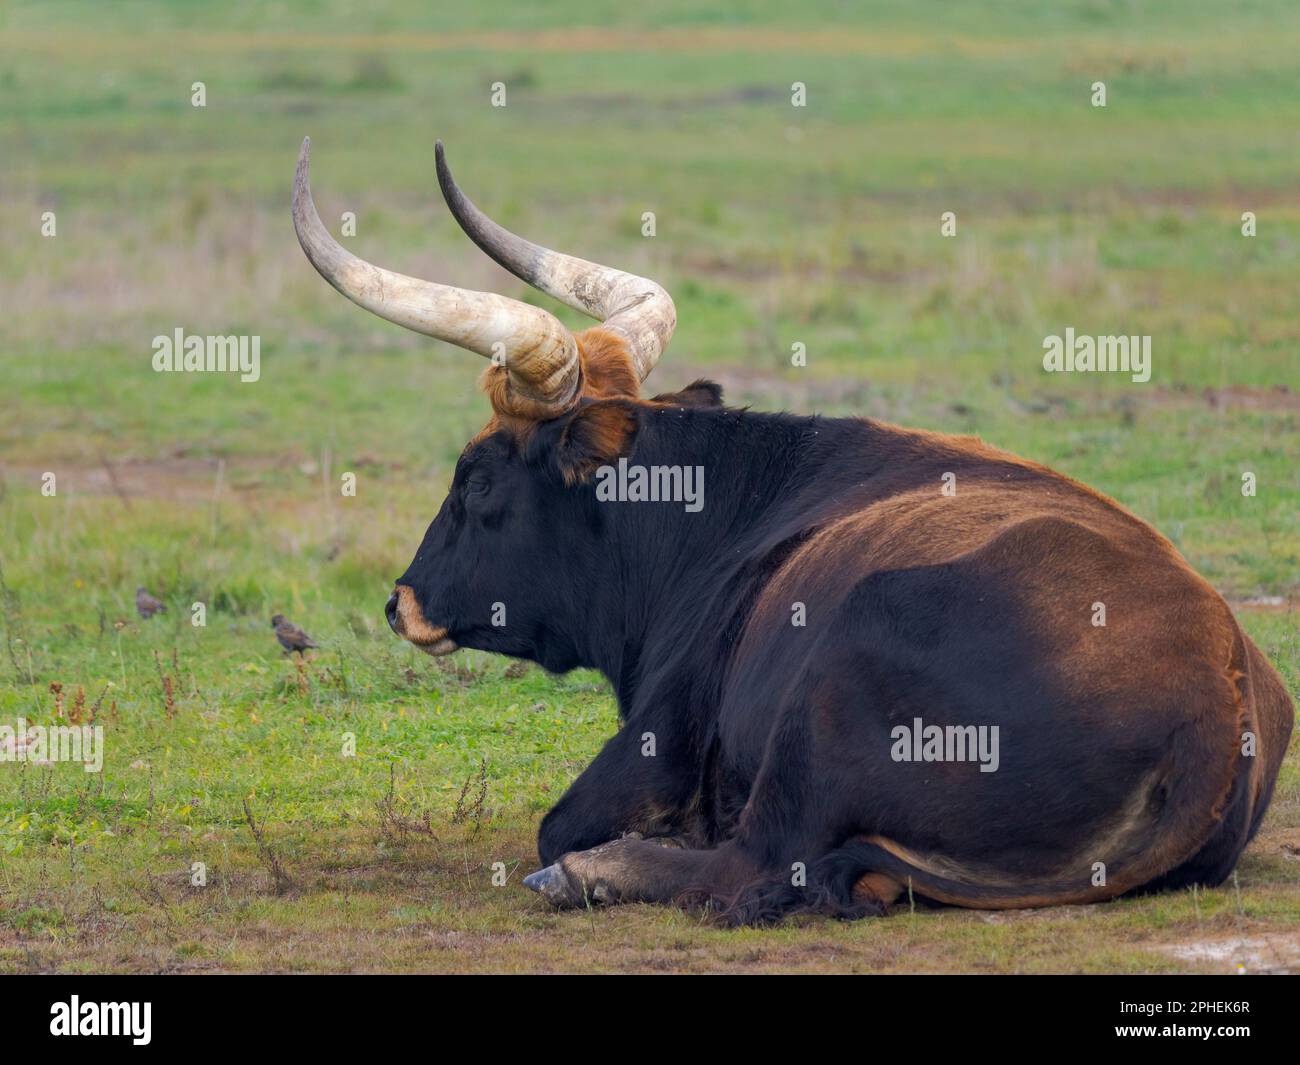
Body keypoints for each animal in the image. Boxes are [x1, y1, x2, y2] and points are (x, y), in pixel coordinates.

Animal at [291, 138, 1293, 924]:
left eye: (478, 475)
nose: (402, 600)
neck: (717, 517)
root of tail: (1221, 693)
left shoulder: (654, 745)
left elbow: (561, 819)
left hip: (835, 680)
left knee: (759, 860)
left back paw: (591, 875)